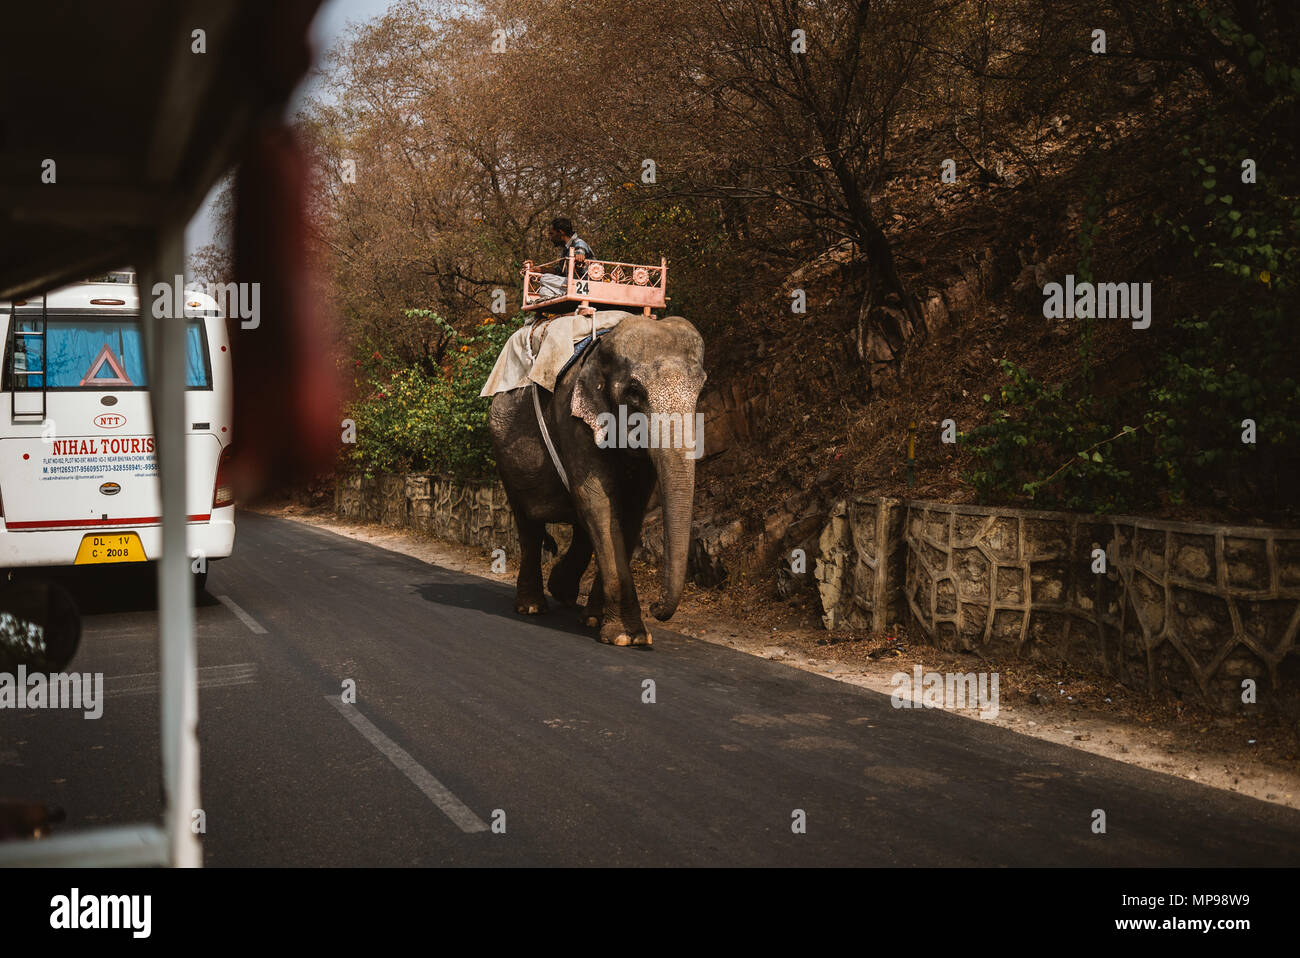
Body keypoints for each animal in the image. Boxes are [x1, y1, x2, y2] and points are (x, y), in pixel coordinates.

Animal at [488, 315, 707, 647]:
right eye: (633, 392)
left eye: (701, 391)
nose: (656, 607)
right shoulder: (571, 417)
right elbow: (598, 501)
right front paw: (629, 637)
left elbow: (630, 510)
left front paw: (615, 628)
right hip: (504, 456)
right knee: (530, 525)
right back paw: (532, 606)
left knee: (581, 525)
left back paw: (573, 601)